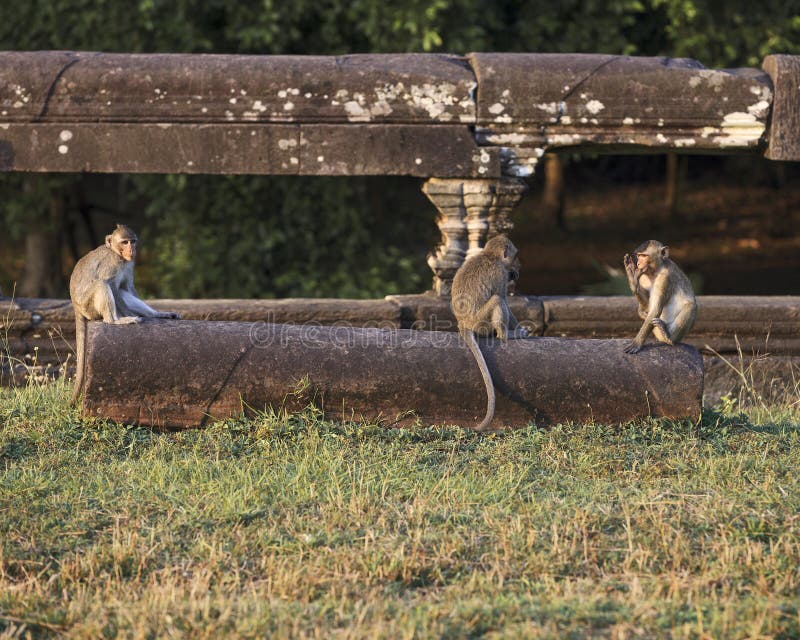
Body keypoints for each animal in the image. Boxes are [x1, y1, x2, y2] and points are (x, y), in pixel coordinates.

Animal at [68, 224, 180, 405]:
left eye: (132, 241)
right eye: (124, 242)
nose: (131, 250)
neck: (116, 253)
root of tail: (75, 306)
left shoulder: (129, 265)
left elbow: (126, 288)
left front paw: (156, 314)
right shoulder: (112, 264)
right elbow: (112, 285)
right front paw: (127, 314)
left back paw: (156, 314)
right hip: (88, 306)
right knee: (101, 284)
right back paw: (115, 320)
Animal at [451, 235, 530, 430]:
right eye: (516, 256)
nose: (518, 267)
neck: (490, 255)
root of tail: (464, 323)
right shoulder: (501, 273)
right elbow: (504, 300)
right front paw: (519, 330)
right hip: (481, 322)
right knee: (497, 299)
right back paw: (506, 335)